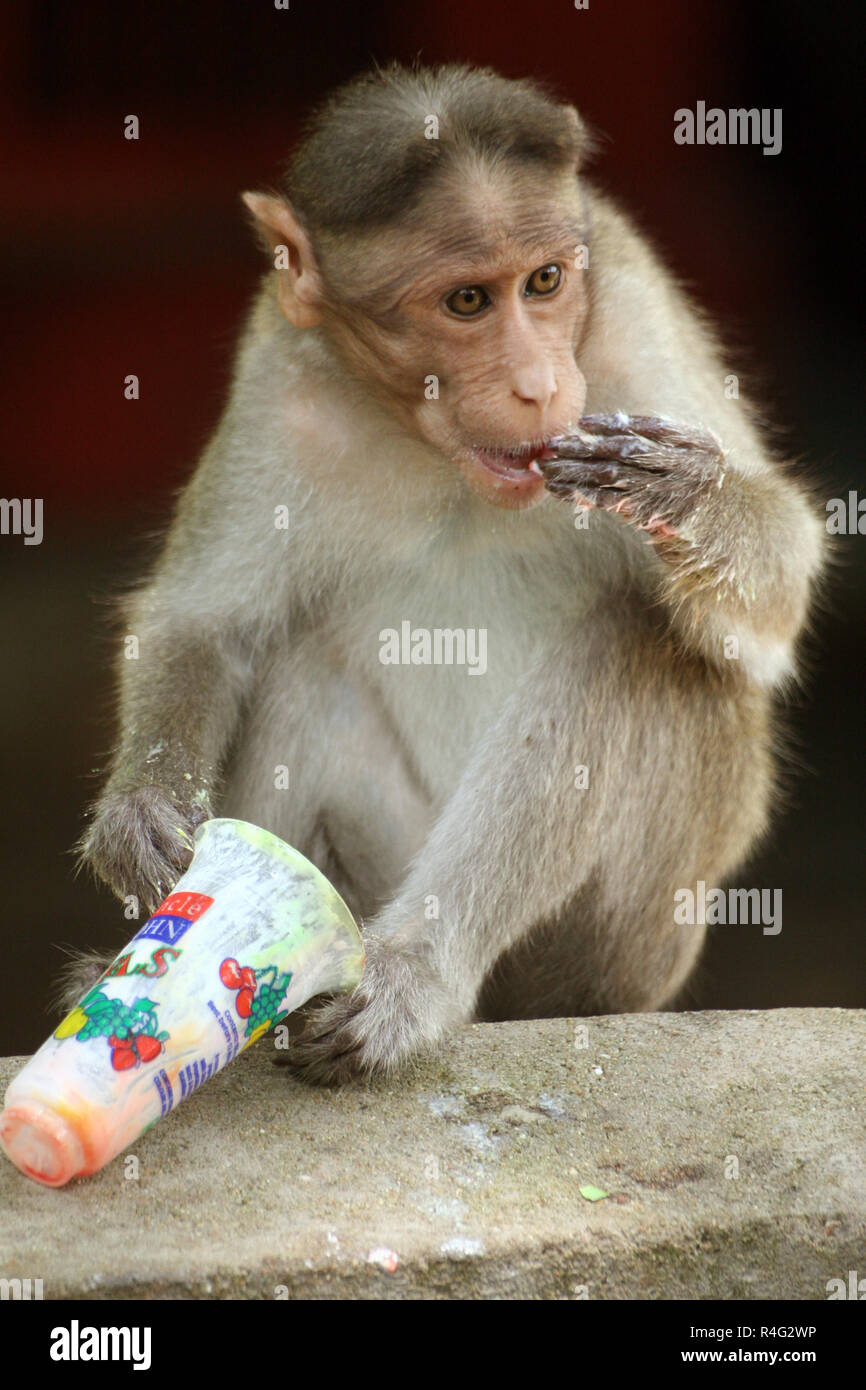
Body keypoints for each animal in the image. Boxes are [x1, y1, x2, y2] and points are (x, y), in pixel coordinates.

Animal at [65, 63, 824, 1084]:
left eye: (545, 282)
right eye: (467, 302)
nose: (540, 385)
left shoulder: (630, 309)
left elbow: (772, 613)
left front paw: (683, 494)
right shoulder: (282, 367)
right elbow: (204, 619)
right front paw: (144, 812)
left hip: (620, 955)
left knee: (643, 647)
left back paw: (413, 976)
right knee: (306, 664)